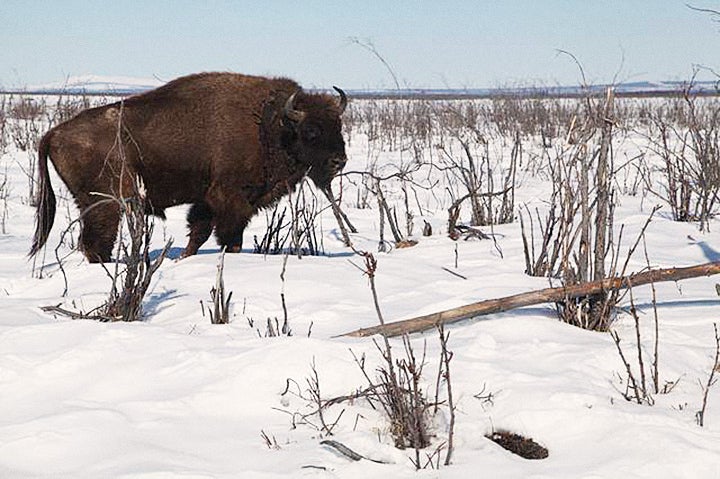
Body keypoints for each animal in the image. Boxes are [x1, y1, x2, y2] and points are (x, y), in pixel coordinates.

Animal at [29, 72, 348, 262]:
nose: (339, 161)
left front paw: (184, 258)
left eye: (338, 125)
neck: (270, 125)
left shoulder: (208, 201)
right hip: (105, 202)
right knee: (96, 241)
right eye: (311, 131)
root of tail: (53, 133)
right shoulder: (231, 200)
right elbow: (229, 236)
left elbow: (199, 231)